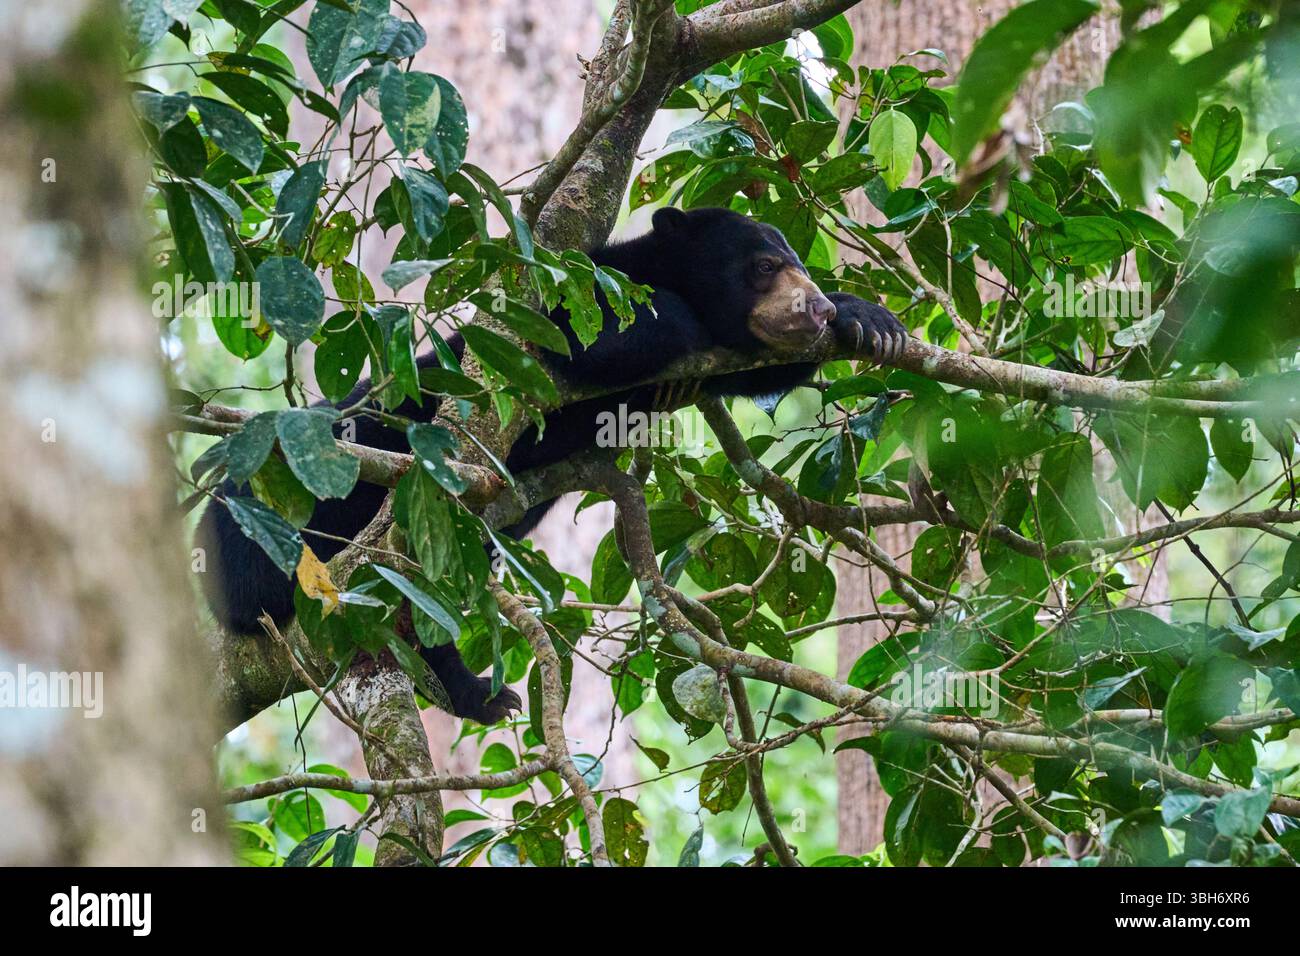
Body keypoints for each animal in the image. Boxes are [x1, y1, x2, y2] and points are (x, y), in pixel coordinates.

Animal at [197, 206, 908, 723]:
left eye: (798, 264)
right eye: (763, 265)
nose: (815, 307)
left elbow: (755, 366)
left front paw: (870, 319)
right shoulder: (562, 300)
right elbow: (584, 332)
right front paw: (671, 316)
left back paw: (472, 693)